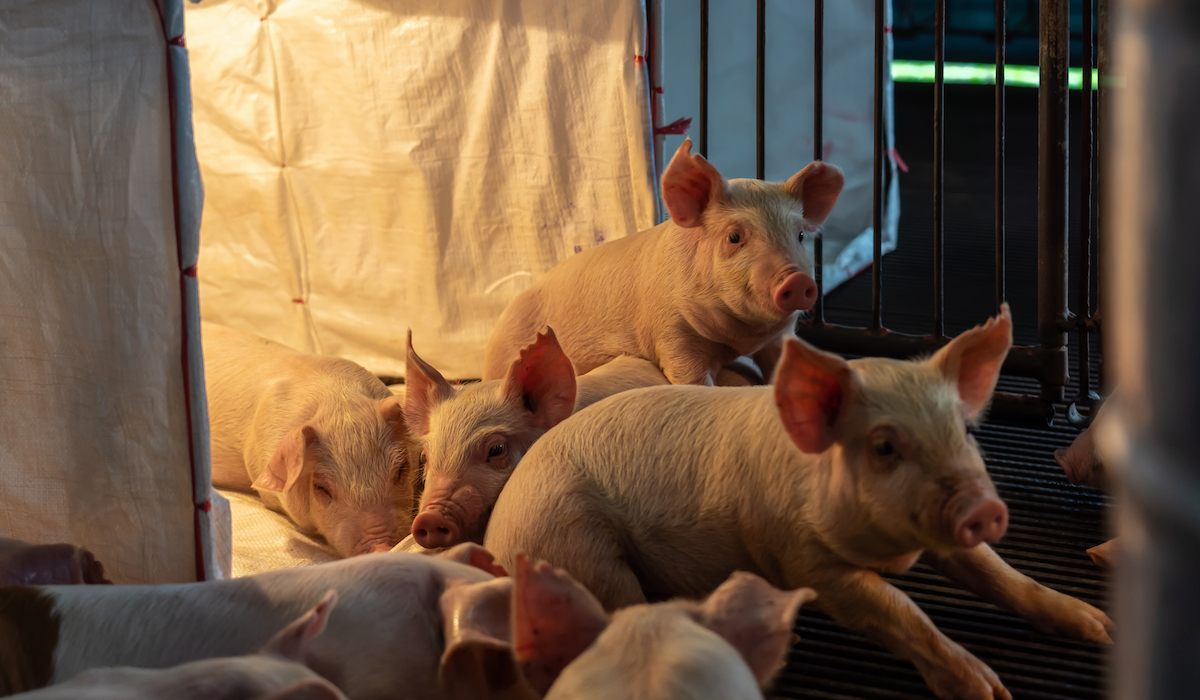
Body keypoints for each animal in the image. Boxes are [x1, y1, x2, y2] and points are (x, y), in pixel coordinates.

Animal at [483, 138, 843, 387]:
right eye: (734, 237)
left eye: (800, 235)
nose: (797, 280)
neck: (734, 339)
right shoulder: (670, 331)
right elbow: (690, 376)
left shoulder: (776, 338)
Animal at [484, 305, 1114, 700]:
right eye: (884, 446)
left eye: (963, 429)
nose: (983, 509)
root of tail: (495, 539)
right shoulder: (807, 559)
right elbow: (901, 612)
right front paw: (990, 690)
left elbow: (1001, 574)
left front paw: (1097, 626)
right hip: (584, 551)